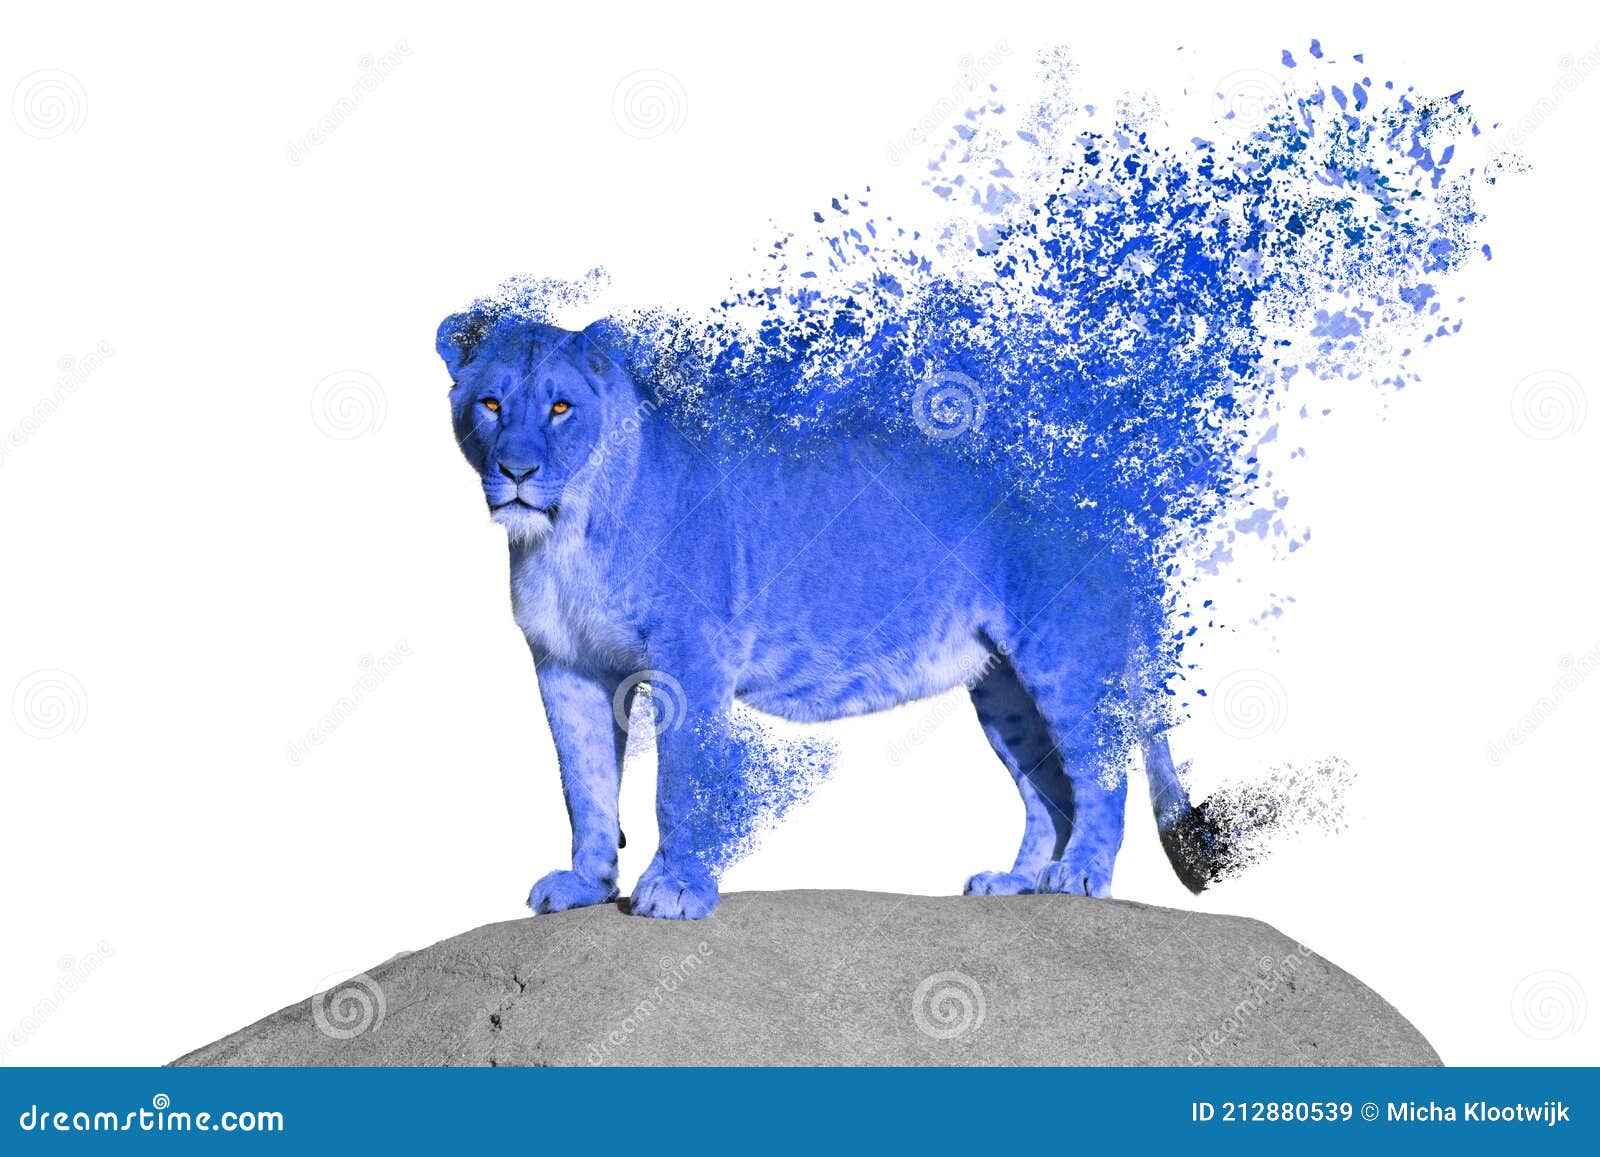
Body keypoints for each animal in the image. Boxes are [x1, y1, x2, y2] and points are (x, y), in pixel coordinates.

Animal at [436, 309, 1228, 919]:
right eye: (493, 405)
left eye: (561, 407)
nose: (516, 472)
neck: (567, 531)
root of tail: (1110, 497)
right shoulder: (566, 667)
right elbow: (586, 783)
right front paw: (586, 883)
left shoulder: (694, 653)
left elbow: (681, 782)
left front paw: (677, 889)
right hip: (1002, 686)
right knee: (1049, 790)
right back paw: (1017, 882)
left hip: (1063, 654)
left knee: (1101, 772)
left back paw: (1082, 876)